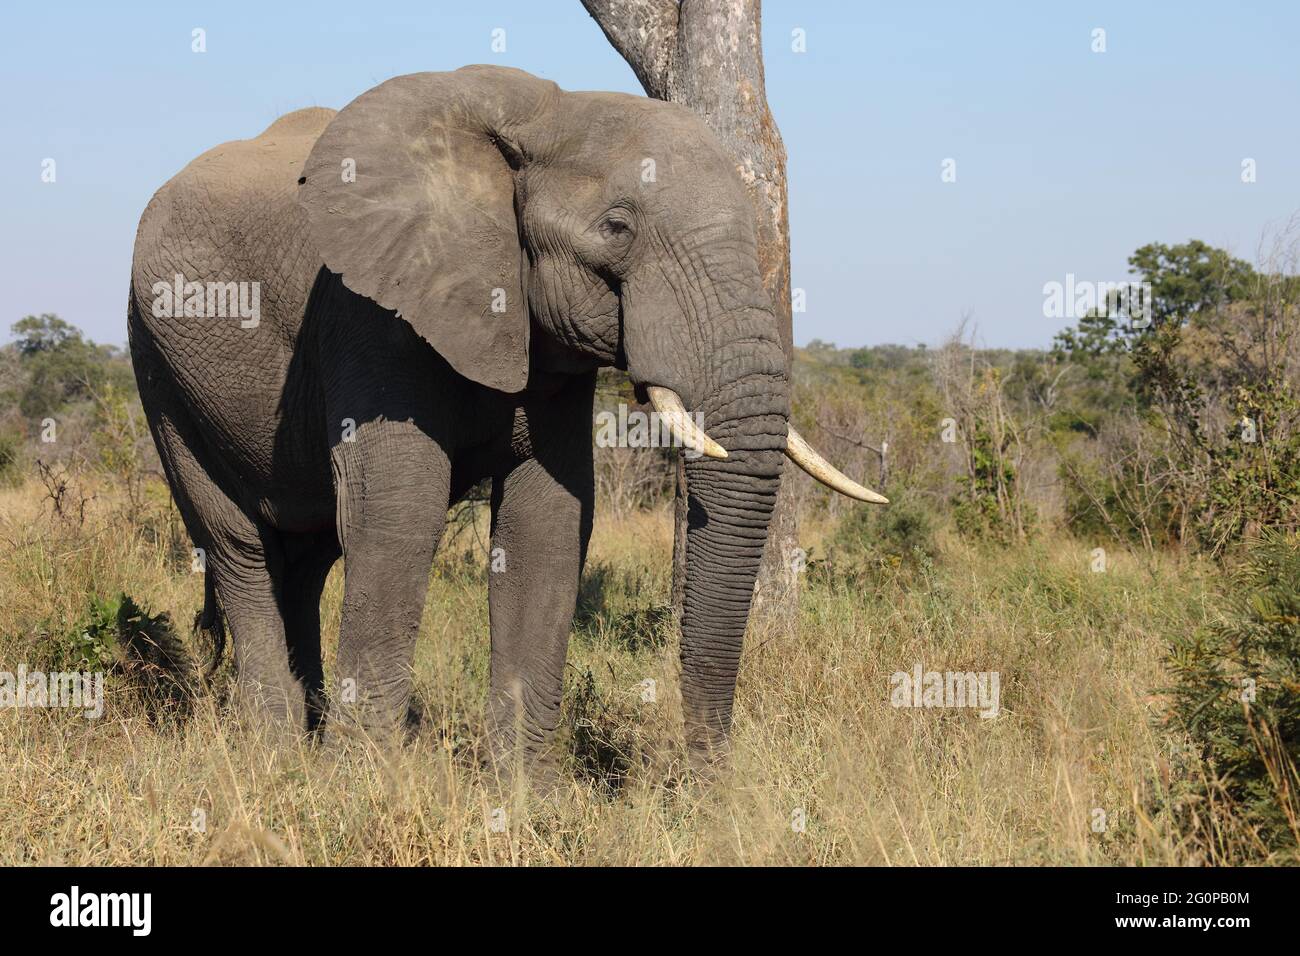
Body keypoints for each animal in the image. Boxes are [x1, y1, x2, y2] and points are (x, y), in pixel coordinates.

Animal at [128, 64, 884, 773]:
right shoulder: (365, 309)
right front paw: (365, 788)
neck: (546, 116)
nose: (709, 790)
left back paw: (306, 739)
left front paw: (525, 796)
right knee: (239, 547)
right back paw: (277, 755)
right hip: (160, 368)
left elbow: (548, 522)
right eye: (617, 228)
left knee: (307, 557)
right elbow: (398, 511)